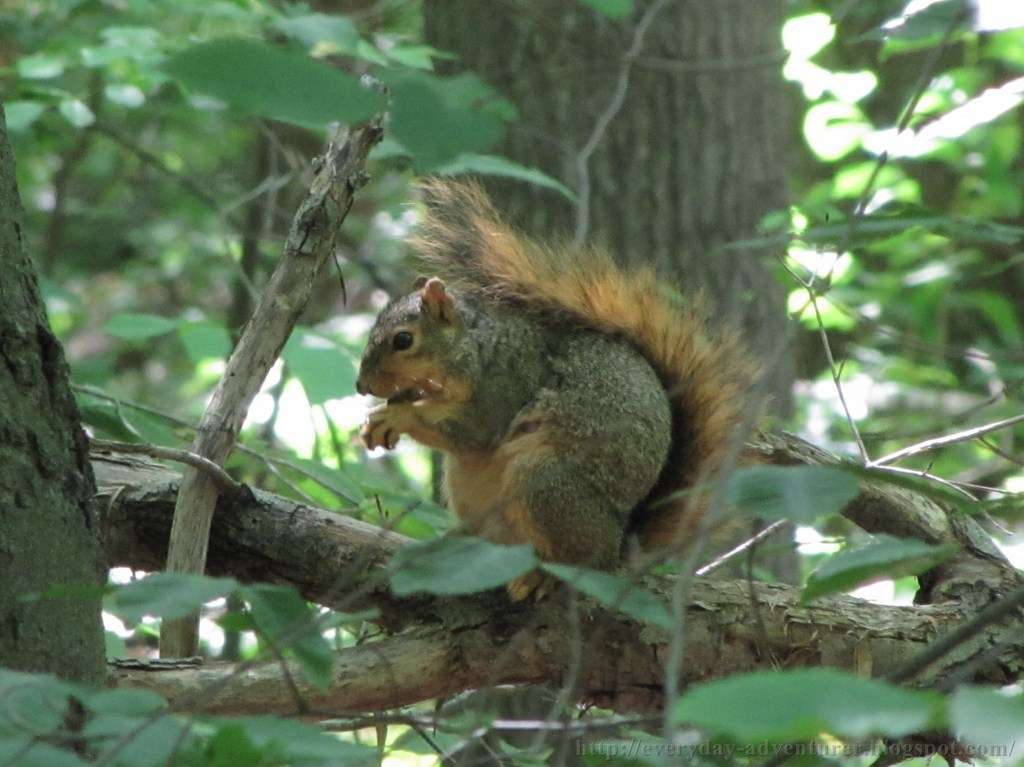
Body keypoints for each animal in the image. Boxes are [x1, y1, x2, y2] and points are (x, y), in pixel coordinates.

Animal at [356, 179, 756, 600]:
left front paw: (396, 414)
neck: (477, 346)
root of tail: (618, 546)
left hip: (543, 481)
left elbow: (472, 431)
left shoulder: (506, 385)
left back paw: (541, 574)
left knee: (575, 559)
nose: (361, 385)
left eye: (403, 340)